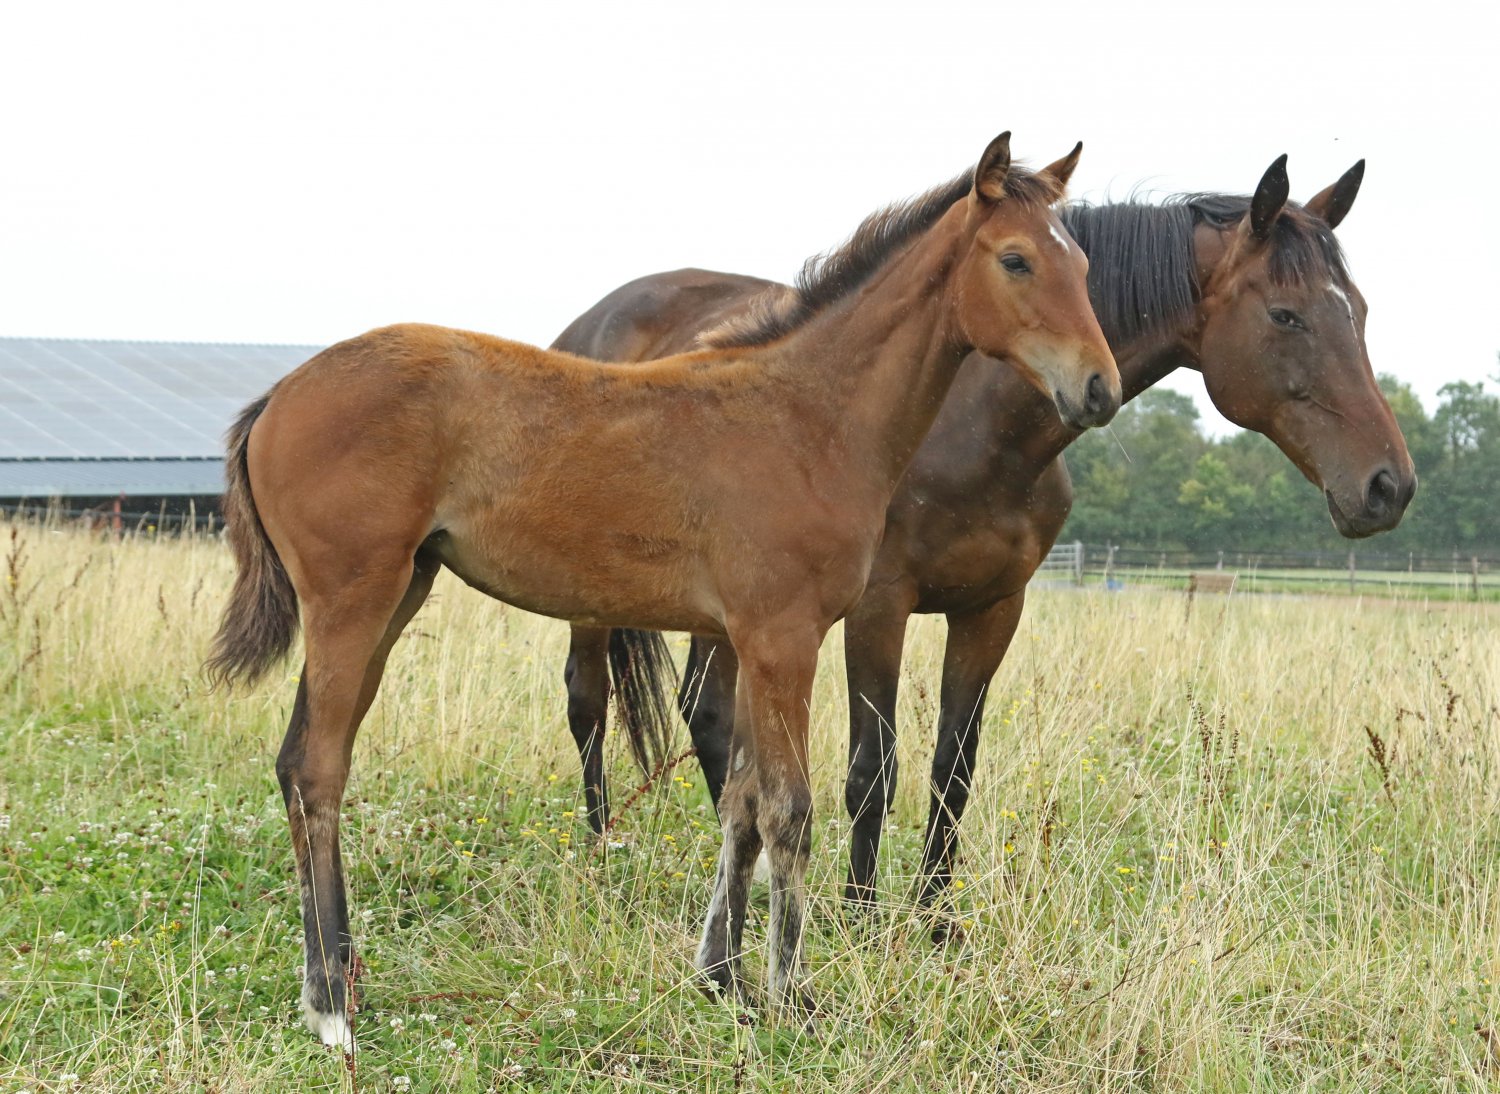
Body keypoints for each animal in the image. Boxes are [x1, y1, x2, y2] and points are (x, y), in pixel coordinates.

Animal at [205, 132, 1121, 1046]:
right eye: (1015, 259)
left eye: (1083, 264)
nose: (1100, 388)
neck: (809, 419)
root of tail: (279, 394)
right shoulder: (785, 637)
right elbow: (788, 809)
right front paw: (793, 998)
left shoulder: (748, 637)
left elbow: (742, 803)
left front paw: (725, 978)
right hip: (352, 601)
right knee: (319, 769)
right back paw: (331, 1004)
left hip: (397, 595)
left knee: (297, 763)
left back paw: (337, 979)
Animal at [550, 155, 1416, 938]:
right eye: (1286, 316)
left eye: (1360, 310)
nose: (1389, 487)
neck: (976, 422)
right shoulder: (878, 607)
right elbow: (873, 769)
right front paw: (861, 919)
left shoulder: (994, 608)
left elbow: (952, 768)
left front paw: (935, 920)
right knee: (589, 702)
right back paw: (602, 852)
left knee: (708, 710)